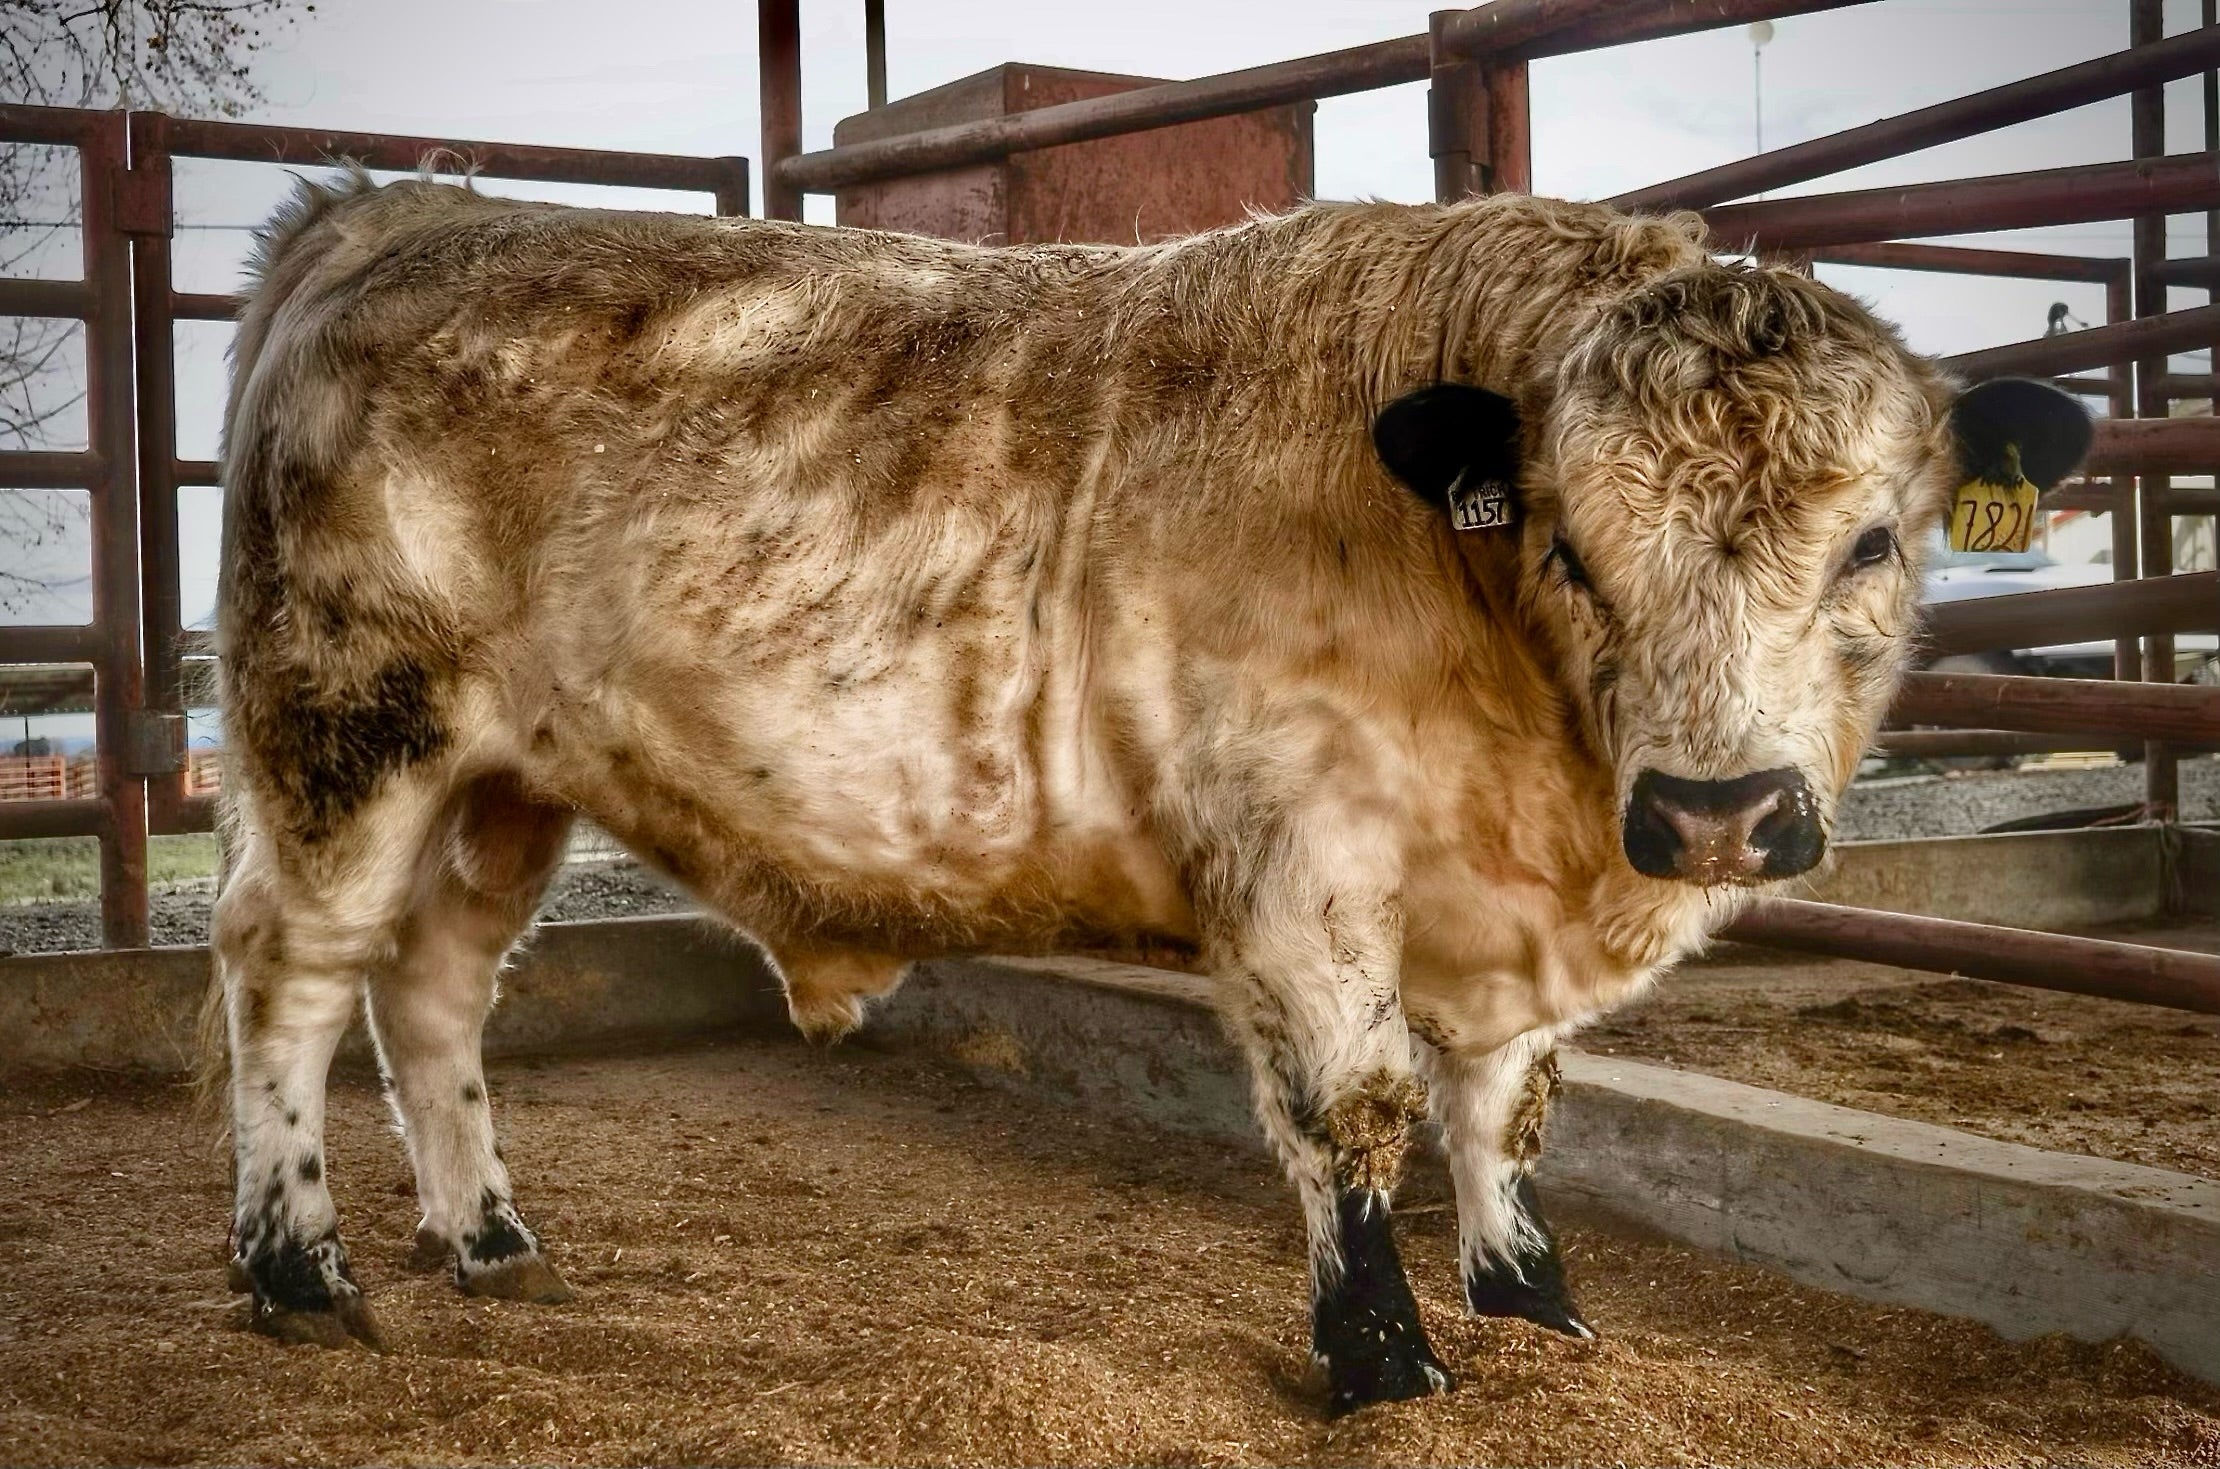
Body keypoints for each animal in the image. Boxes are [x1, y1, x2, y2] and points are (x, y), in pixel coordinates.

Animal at [209, 173, 2087, 1415]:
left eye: (1874, 541)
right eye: (1570, 547)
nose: (1715, 811)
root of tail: (390, 208)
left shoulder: (1505, 904)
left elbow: (1508, 1103)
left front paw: (1534, 1303)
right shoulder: (1299, 861)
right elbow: (1357, 1108)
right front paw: (1384, 1359)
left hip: (502, 778)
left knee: (435, 983)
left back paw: (489, 1240)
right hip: (342, 726)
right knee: (290, 972)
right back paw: (298, 1268)